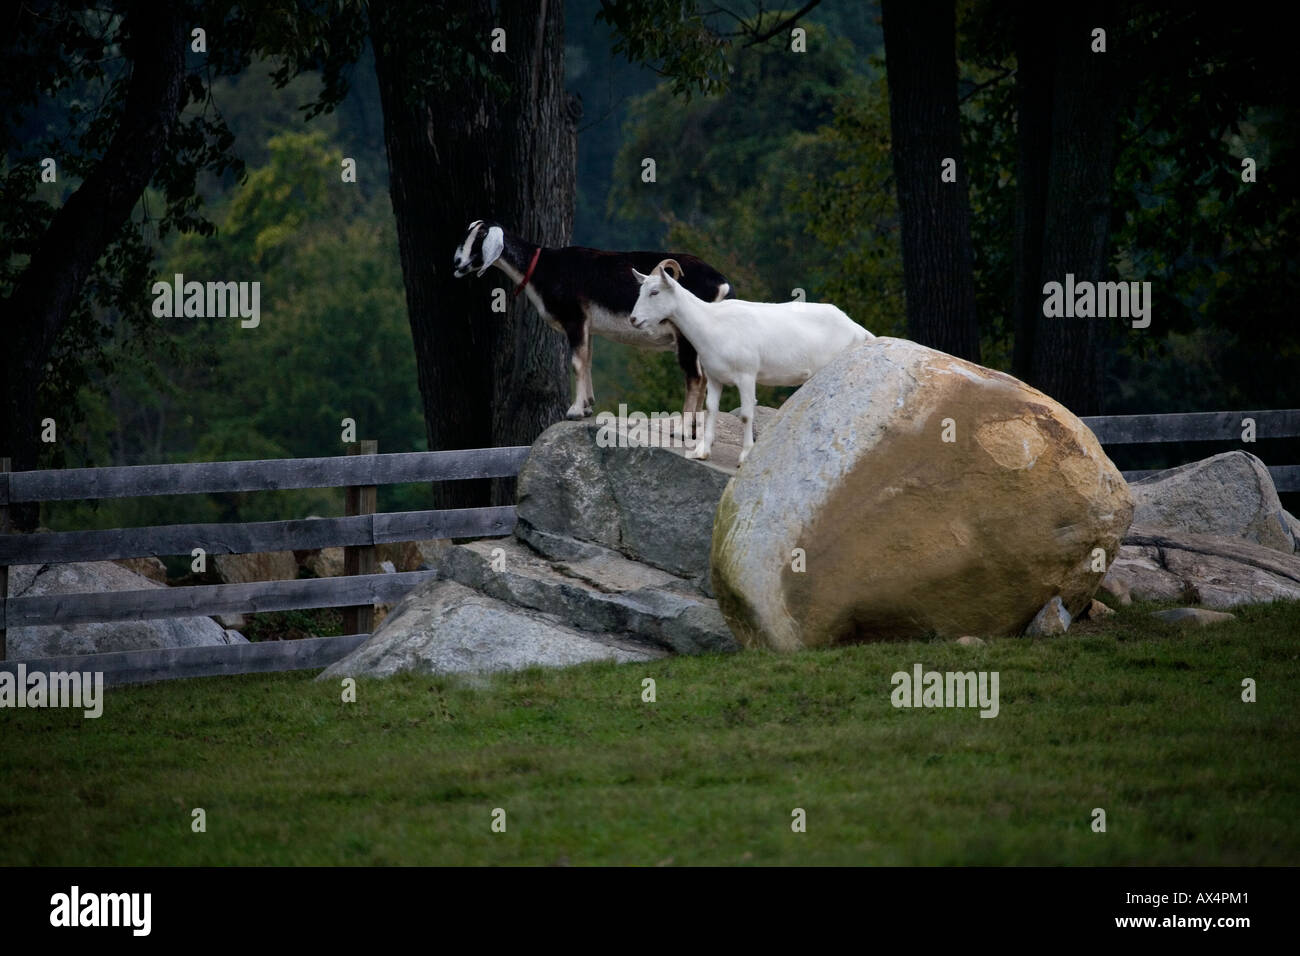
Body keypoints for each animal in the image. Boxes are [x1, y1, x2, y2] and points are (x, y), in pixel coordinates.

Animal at [452, 220, 734, 432]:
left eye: (479, 236)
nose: (456, 263)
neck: (545, 267)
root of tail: (721, 283)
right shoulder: (587, 326)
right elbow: (586, 360)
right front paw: (587, 405)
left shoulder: (574, 319)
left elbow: (577, 363)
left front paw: (575, 411)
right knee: (705, 375)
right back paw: (696, 424)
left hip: (686, 338)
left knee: (695, 376)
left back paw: (683, 427)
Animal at [630, 259, 872, 465]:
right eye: (640, 290)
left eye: (654, 292)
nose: (633, 319)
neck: (712, 322)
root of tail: (855, 327)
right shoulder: (715, 377)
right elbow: (712, 410)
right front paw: (702, 451)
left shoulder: (746, 375)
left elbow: (747, 415)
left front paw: (745, 456)